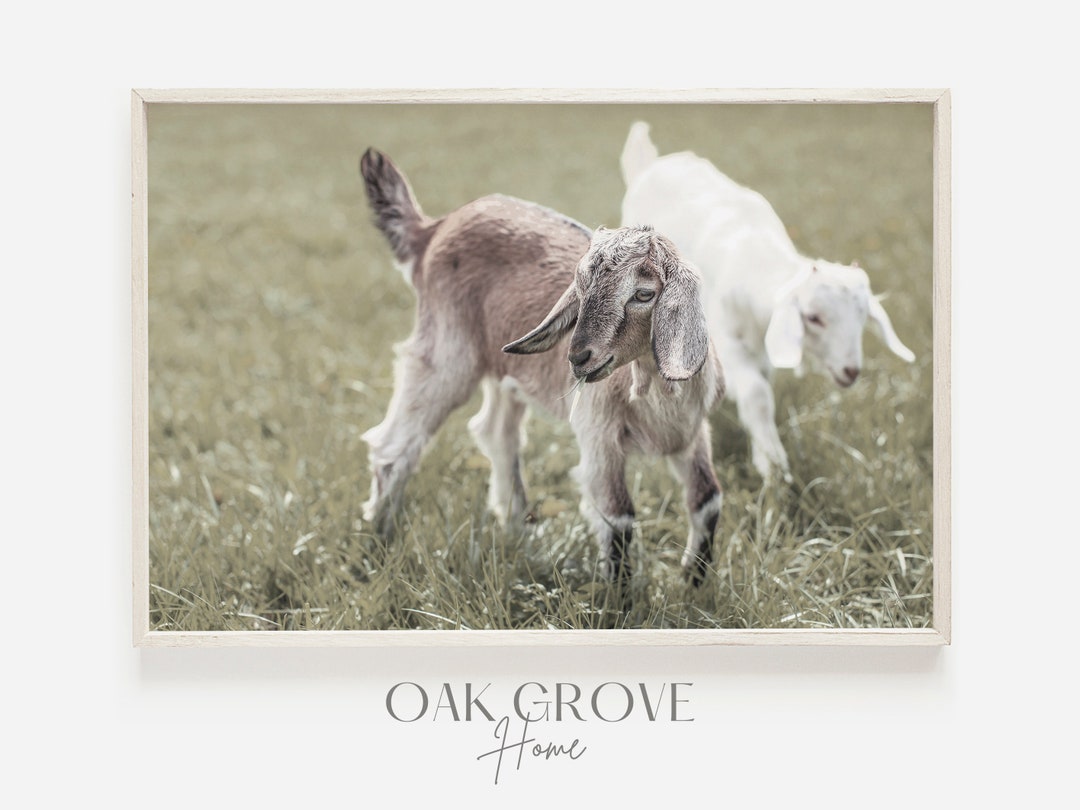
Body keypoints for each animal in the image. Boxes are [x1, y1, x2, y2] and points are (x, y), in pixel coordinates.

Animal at [358, 148, 724, 584]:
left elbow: (708, 500)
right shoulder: (598, 434)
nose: (578, 357)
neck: (654, 396)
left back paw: (516, 528)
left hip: (504, 371)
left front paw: (694, 581)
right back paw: (379, 538)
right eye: (580, 288)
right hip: (446, 353)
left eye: (644, 293)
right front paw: (619, 596)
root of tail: (435, 228)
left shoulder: (693, 433)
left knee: (496, 432)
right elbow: (617, 516)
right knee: (393, 445)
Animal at [620, 122, 915, 482]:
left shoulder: (764, 348)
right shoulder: (723, 339)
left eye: (861, 319)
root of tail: (651, 163)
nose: (851, 371)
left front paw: (765, 453)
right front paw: (774, 466)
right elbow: (756, 394)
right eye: (813, 318)